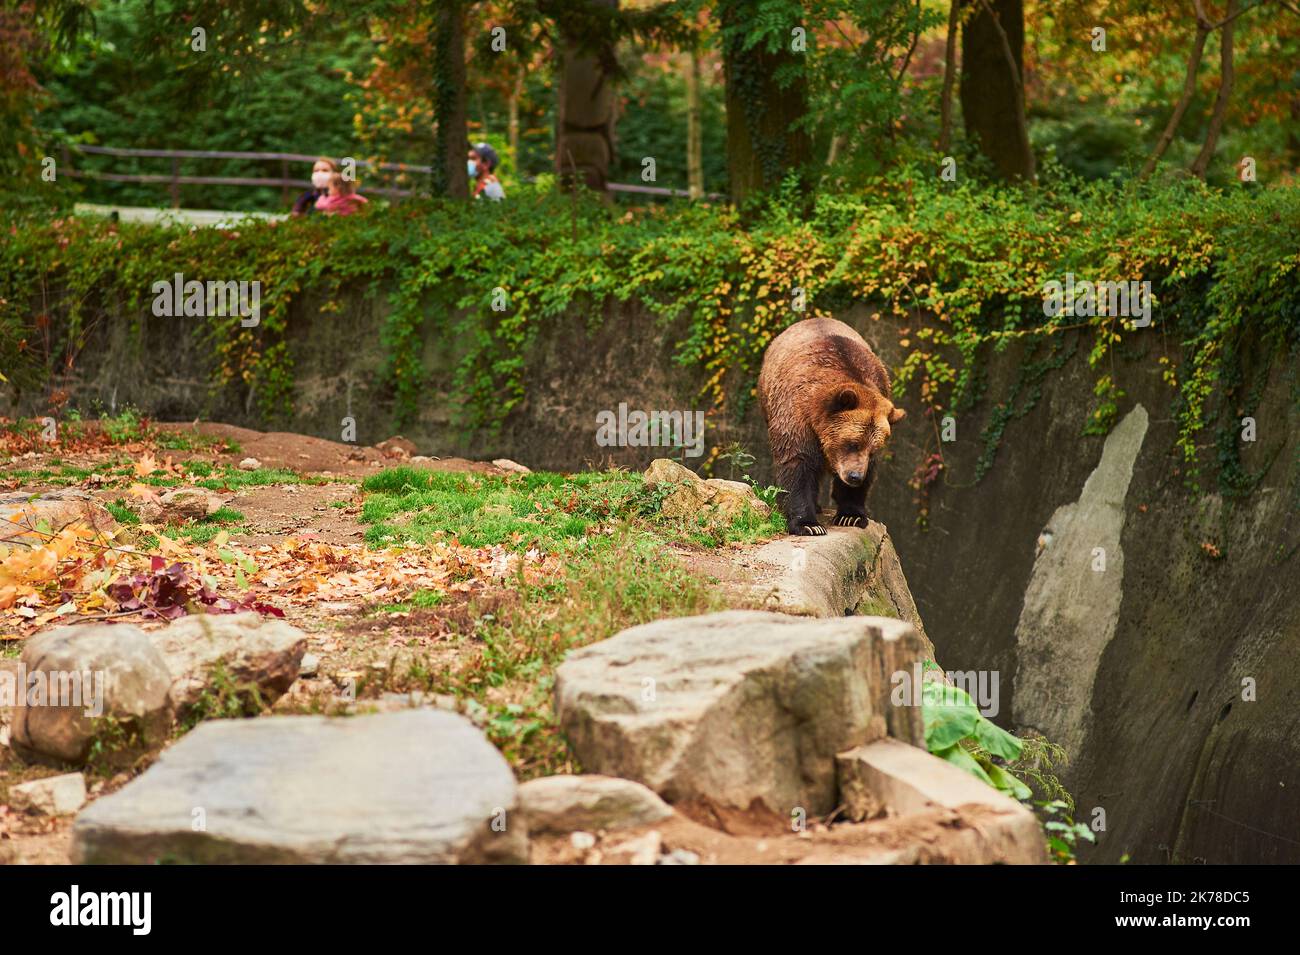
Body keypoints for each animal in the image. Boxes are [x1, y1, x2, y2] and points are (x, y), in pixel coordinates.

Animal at [757, 317, 905, 536]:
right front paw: (808, 524)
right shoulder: (797, 415)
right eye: (852, 443)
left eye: (872, 450)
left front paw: (850, 516)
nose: (855, 477)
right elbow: (797, 462)